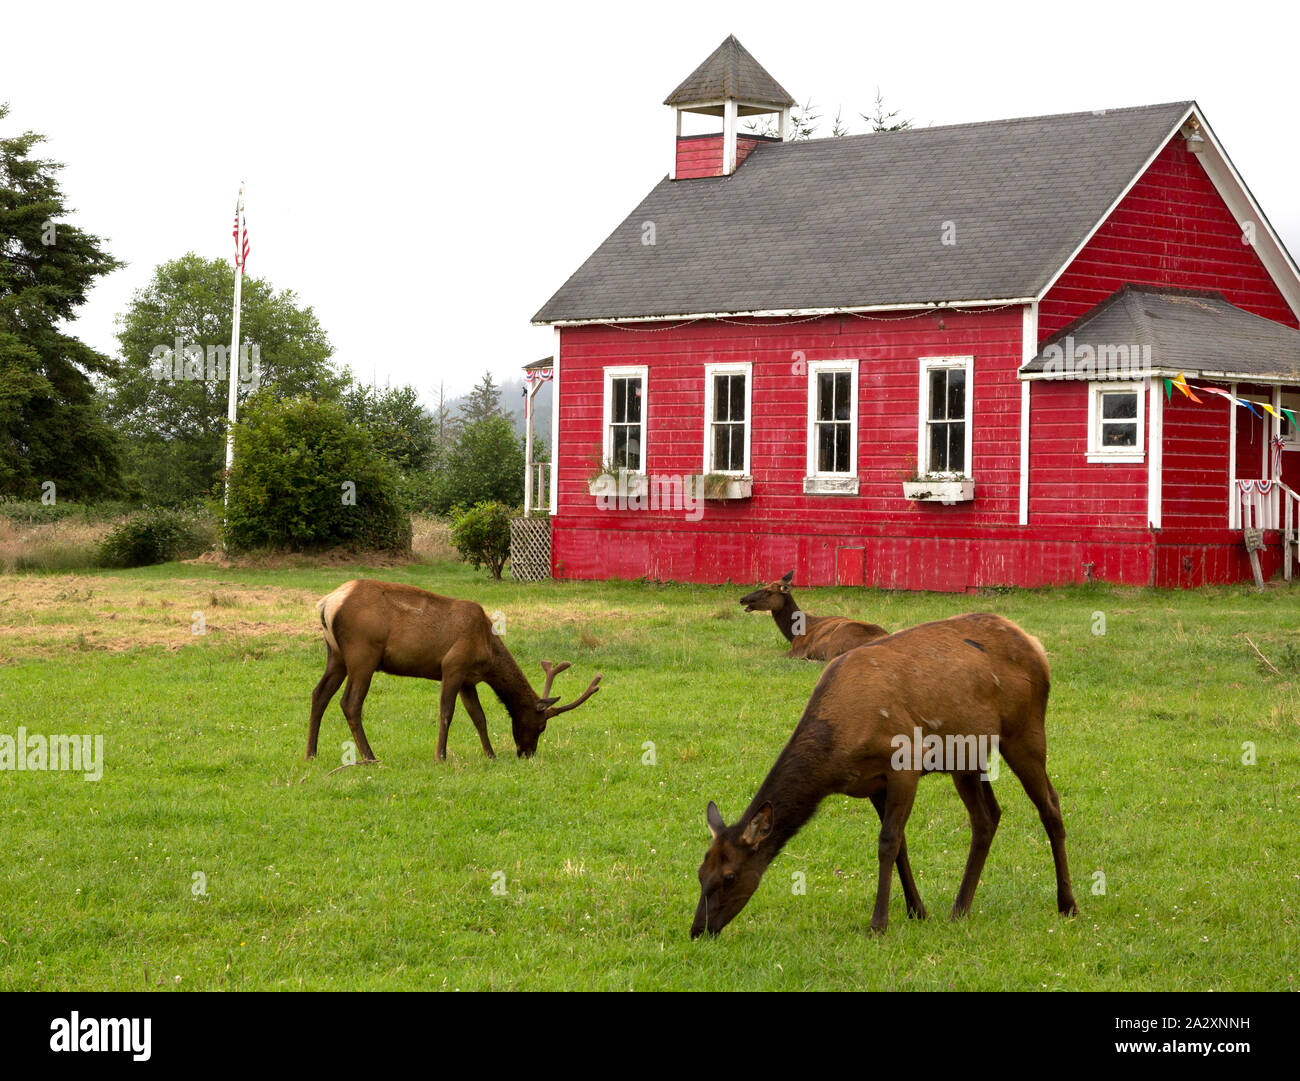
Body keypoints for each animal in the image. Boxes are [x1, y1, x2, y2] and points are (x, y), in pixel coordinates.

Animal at [306, 579, 601, 763]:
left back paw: (311, 753)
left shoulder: (468, 680)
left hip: (336, 656)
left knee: (319, 694)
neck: (488, 652)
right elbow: (447, 712)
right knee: (350, 703)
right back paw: (370, 756)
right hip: (362, 654)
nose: (527, 754)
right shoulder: (453, 666)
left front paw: (491, 755)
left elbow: (479, 717)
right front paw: (441, 756)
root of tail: (327, 603)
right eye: (541, 726)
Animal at [691, 612, 1077, 938]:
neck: (837, 752)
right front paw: (917, 910)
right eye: (700, 872)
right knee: (987, 816)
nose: (698, 930)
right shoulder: (873, 783)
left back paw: (1067, 905)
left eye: (729, 876)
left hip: (1025, 731)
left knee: (1050, 805)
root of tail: (1035, 645)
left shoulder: (906, 763)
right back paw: (960, 908)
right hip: (966, 756)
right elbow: (901, 844)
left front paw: (879, 923)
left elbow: (888, 842)